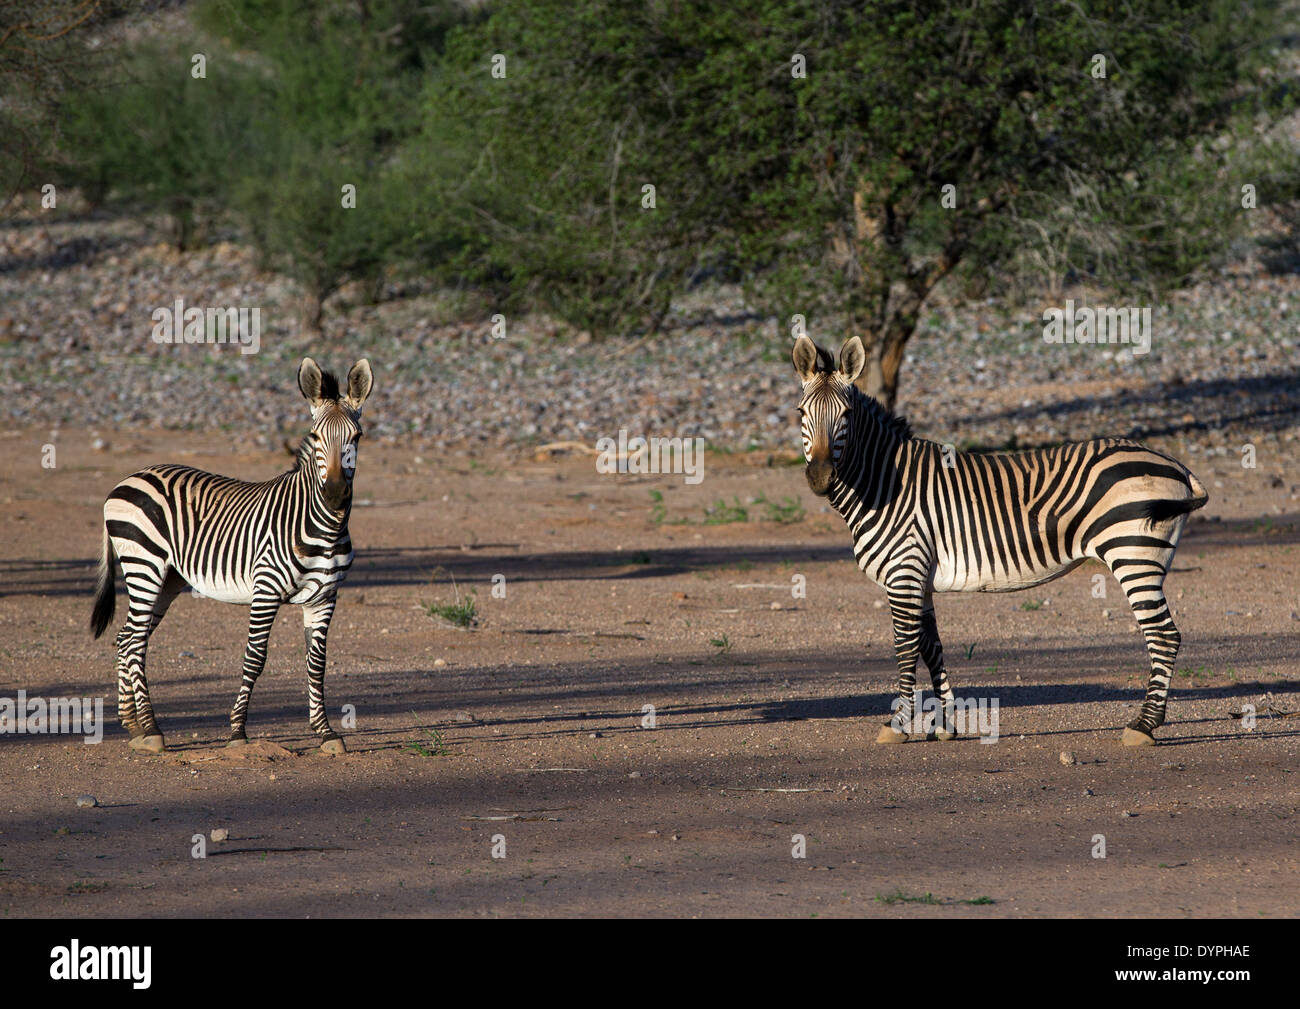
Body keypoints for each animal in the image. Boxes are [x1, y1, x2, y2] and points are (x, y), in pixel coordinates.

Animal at [90, 358, 373, 755]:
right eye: (316, 437)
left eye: (356, 438)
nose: (334, 494)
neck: (322, 526)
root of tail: (129, 478)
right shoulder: (266, 591)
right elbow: (255, 658)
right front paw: (238, 731)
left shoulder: (325, 597)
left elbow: (317, 663)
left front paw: (326, 732)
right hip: (144, 565)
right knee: (133, 642)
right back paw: (152, 728)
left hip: (167, 579)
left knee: (127, 638)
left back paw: (134, 725)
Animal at [792, 335, 1207, 747]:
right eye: (800, 413)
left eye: (846, 415)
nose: (819, 477)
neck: (885, 483)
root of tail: (1175, 463)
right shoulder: (920, 578)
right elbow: (932, 648)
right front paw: (945, 723)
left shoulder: (904, 572)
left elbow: (905, 648)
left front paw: (897, 724)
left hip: (1134, 555)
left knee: (1164, 636)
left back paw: (1144, 725)